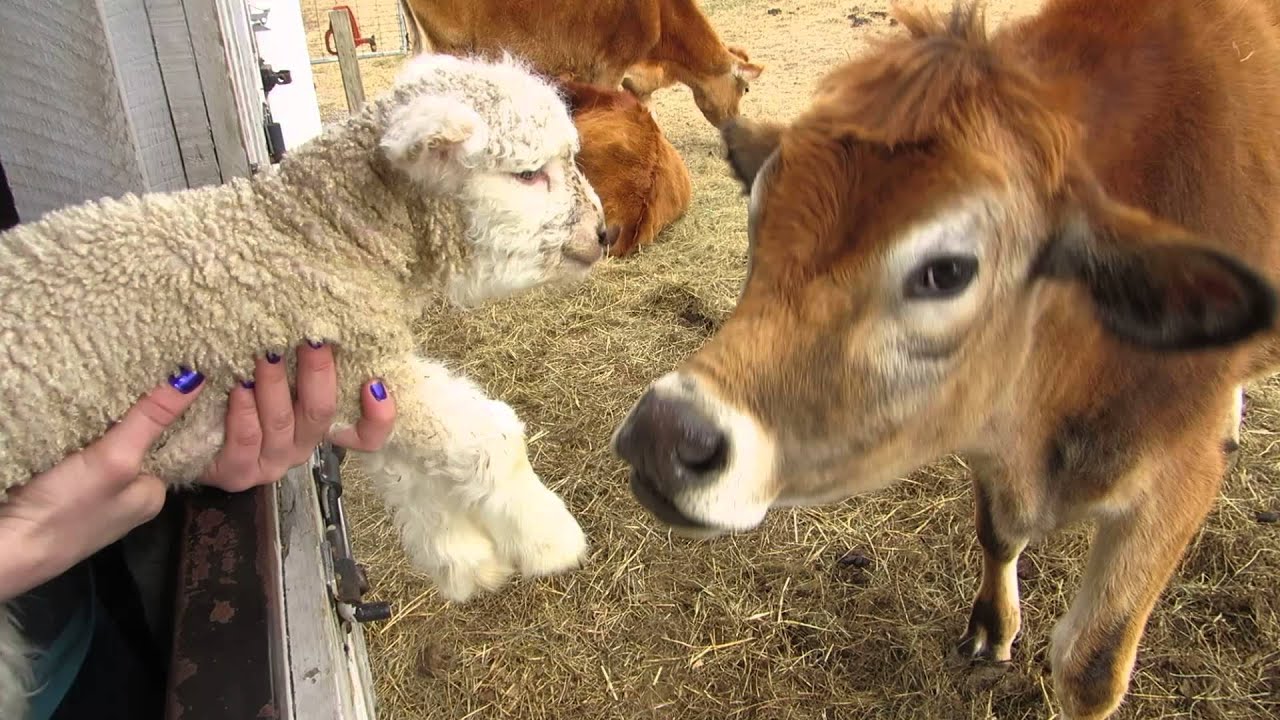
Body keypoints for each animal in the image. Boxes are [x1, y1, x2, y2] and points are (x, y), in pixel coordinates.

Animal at [0, 51, 607, 718]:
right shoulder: (350, 356)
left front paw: (461, 559)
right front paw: (548, 538)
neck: (315, 236)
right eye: (528, 174)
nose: (603, 234)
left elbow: (401, 462)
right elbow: (489, 437)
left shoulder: (354, 375)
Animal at [610, 1, 1280, 718]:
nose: (662, 437)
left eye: (948, 272)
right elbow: (996, 534)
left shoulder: (1178, 484)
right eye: (759, 212)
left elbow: (1092, 664)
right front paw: (991, 629)